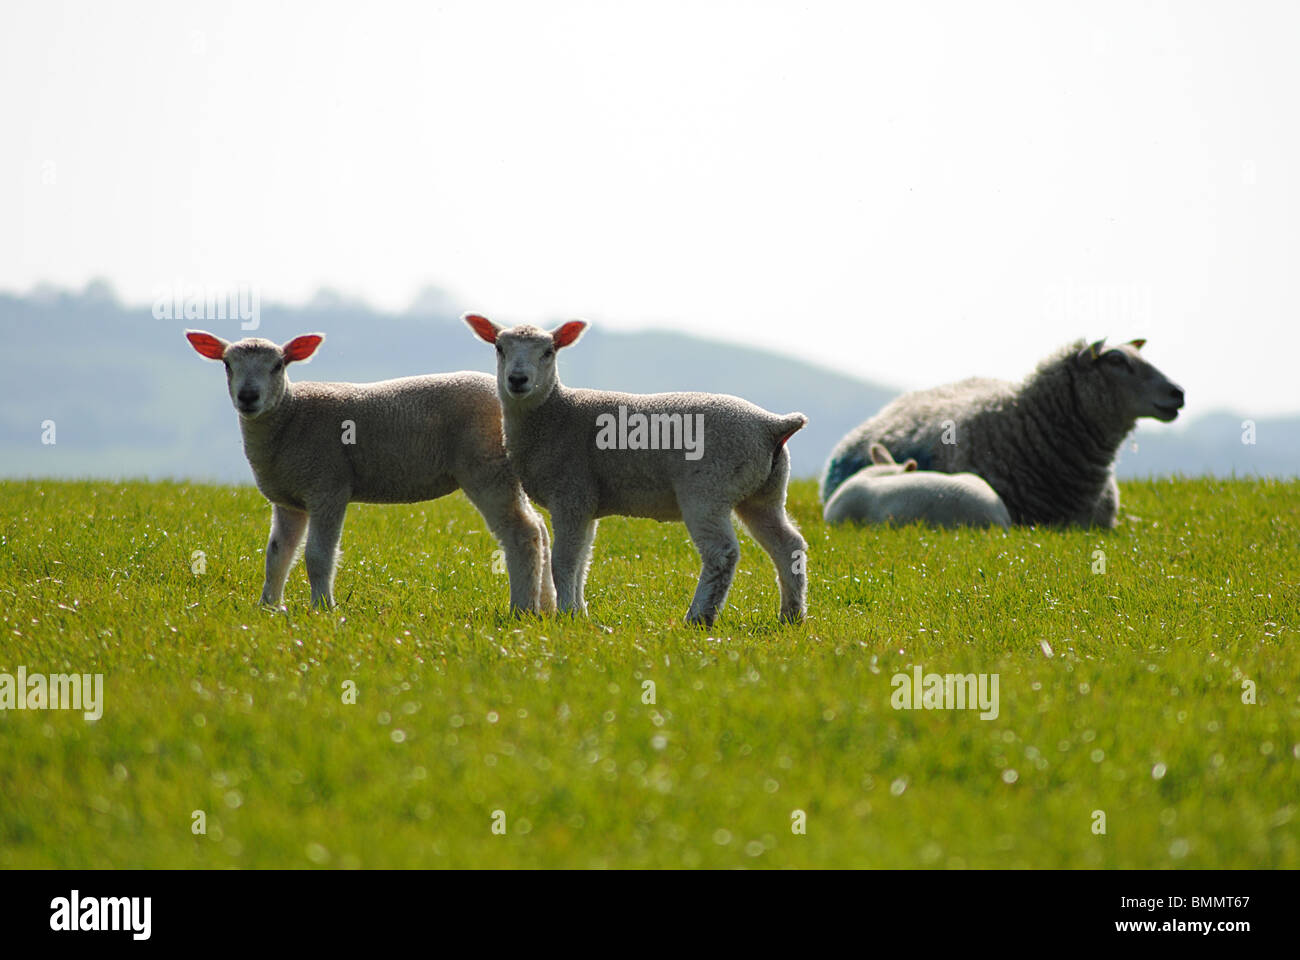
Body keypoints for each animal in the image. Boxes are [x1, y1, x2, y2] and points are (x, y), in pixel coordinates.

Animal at [184, 329, 555, 614]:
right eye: (227, 364)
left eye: (278, 365)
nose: (248, 397)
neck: (290, 415)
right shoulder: (289, 500)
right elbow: (277, 554)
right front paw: (268, 608)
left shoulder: (328, 486)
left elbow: (318, 556)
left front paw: (323, 609)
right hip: (504, 469)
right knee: (539, 527)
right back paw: (546, 606)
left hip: (487, 465)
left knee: (522, 532)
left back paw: (521, 610)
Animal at [463, 313, 809, 626]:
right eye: (499, 348)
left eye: (549, 351)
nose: (517, 380)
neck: (554, 414)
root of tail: (772, 425)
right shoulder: (586, 502)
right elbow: (582, 560)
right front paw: (579, 613)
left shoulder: (571, 492)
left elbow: (564, 561)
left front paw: (566, 615)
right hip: (764, 492)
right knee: (788, 544)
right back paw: (791, 616)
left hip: (708, 488)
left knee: (722, 554)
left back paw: (699, 618)